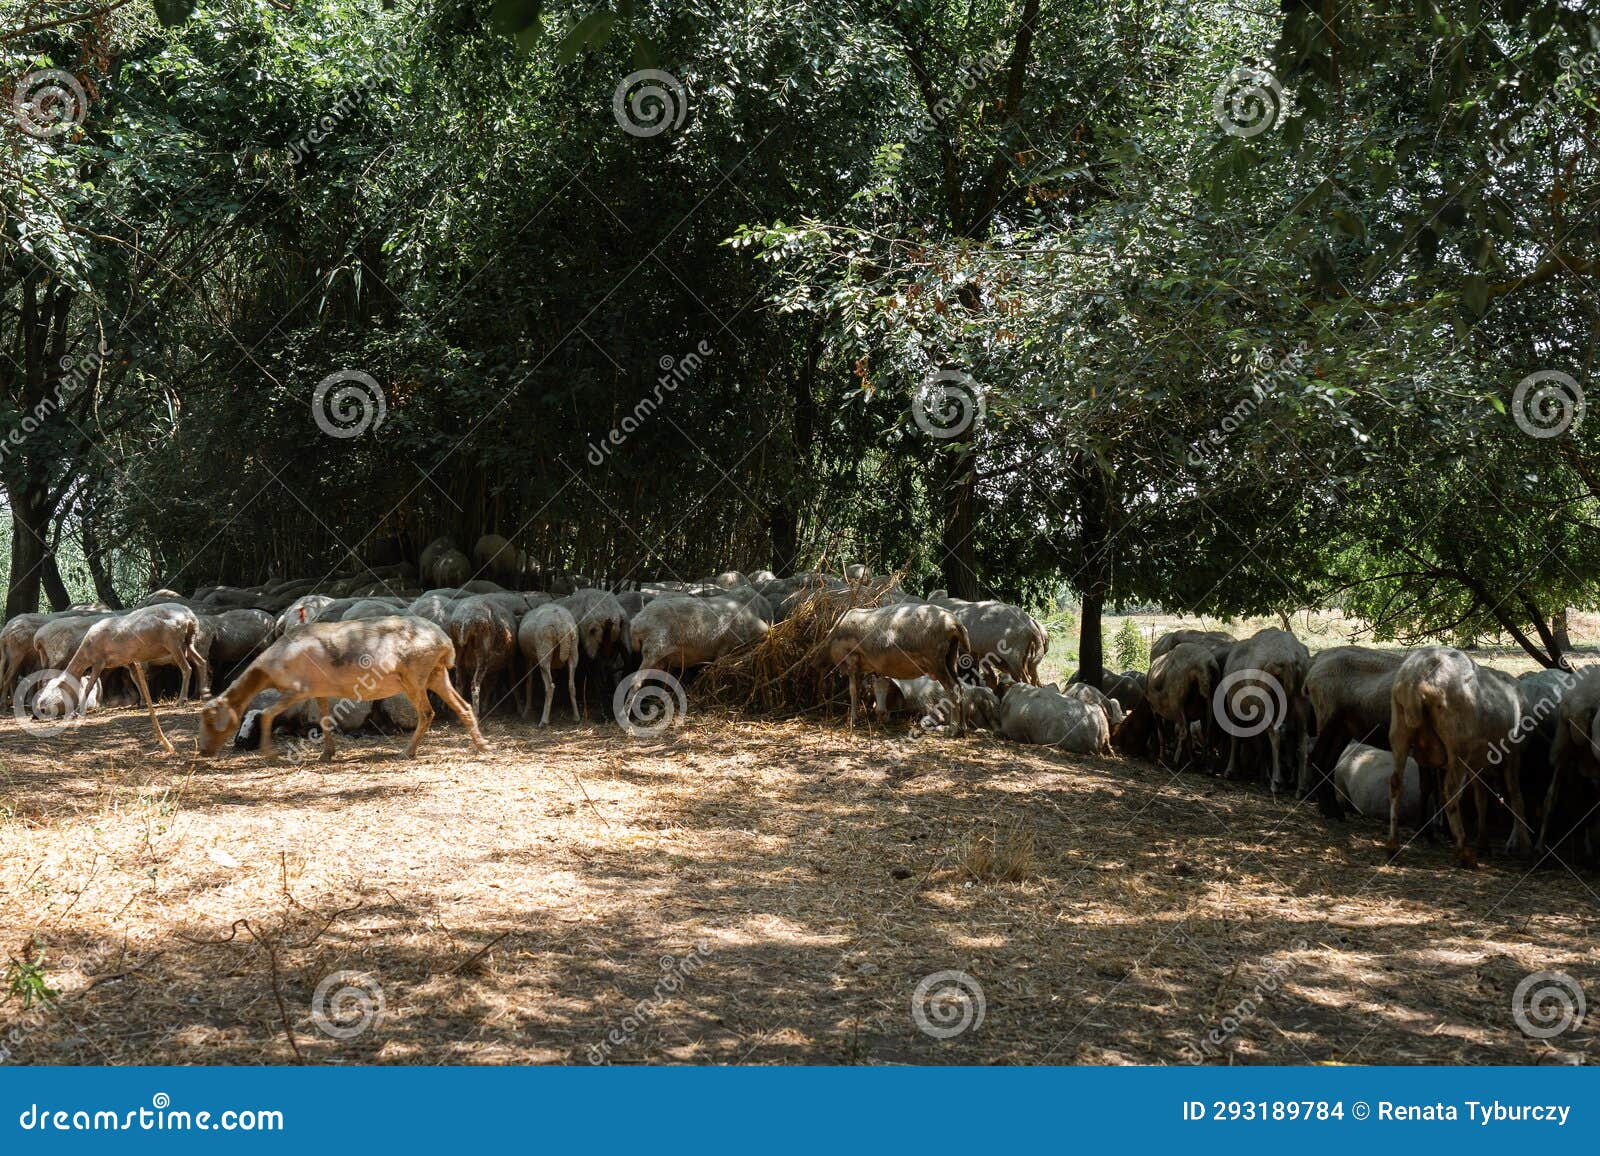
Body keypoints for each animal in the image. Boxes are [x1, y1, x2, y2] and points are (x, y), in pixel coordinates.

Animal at [50, 605, 207, 753]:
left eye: (60, 687)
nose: (55, 708)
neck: (86, 653)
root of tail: (191, 617)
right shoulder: (129, 660)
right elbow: (136, 679)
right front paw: (142, 702)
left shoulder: (99, 662)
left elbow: (89, 686)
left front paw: (78, 711)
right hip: (188, 642)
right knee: (201, 662)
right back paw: (203, 693)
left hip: (173, 642)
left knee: (187, 668)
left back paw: (182, 700)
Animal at [197, 615, 488, 760]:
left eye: (211, 720)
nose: (203, 751)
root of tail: (445, 640)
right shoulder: (319, 691)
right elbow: (325, 720)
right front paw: (327, 754)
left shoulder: (298, 690)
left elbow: (268, 714)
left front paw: (269, 755)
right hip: (436, 674)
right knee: (463, 706)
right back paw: (482, 745)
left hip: (414, 676)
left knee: (427, 713)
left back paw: (407, 751)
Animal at [826, 603, 970, 734]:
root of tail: (955, 623)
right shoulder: (864, 667)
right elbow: (863, 688)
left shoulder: (851, 659)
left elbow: (853, 691)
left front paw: (854, 719)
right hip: (951, 657)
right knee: (960, 687)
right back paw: (963, 728)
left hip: (936, 661)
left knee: (952, 690)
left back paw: (953, 729)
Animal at [1217, 627, 1311, 797]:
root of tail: (1289, 657)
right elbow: (1261, 743)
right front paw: (1263, 774)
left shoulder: (1232, 705)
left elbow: (1235, 737)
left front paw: (1230, 770)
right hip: (1301, 697)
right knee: (1303, 740)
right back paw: (1301, 788)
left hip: (1264, 697)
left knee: (1275, 734)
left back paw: (1277, 782)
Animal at [1387, 646, 1532, 868]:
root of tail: (1419, 676)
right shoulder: (1512, 754)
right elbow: (1516, 796)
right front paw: (1523, 845)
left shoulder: (1479, 762)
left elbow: (1481, 799)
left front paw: (1484, 843)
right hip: (1458, 745)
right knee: (1451, 791)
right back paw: (1464, 852)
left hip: (1399, 729)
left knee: (1396, 782)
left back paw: (1393, 846)